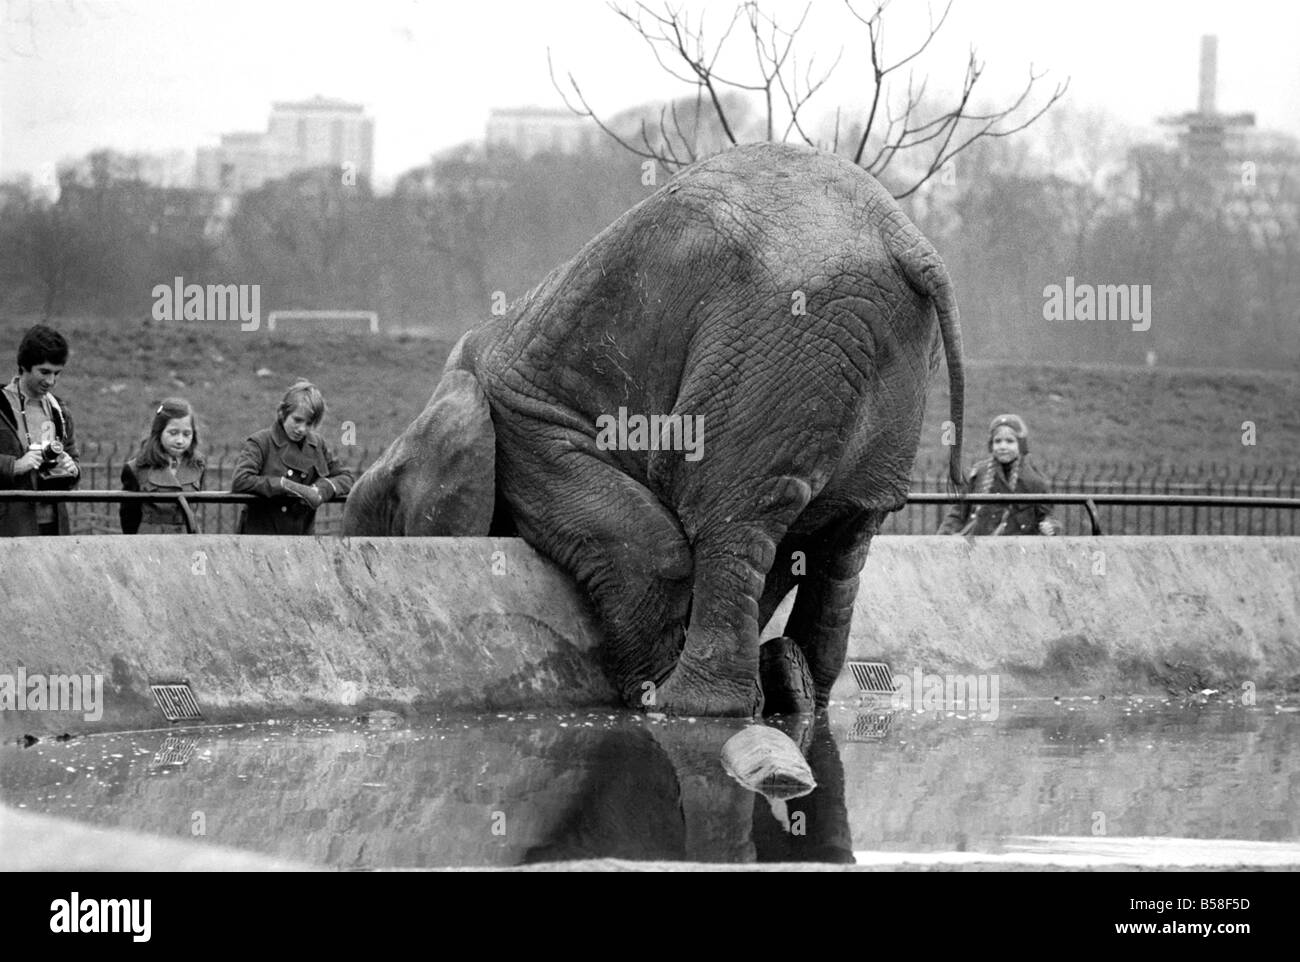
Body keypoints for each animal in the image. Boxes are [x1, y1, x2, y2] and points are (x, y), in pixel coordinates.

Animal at [344, 142, 964, 718]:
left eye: (385, 510)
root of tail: (907, 241)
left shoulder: (529, 429)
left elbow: (649, 545)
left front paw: (650, 691)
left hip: (778, 336)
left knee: (724, 514)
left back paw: (685, 706)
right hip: (876, 360)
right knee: (845, 540)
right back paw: (795, 686)